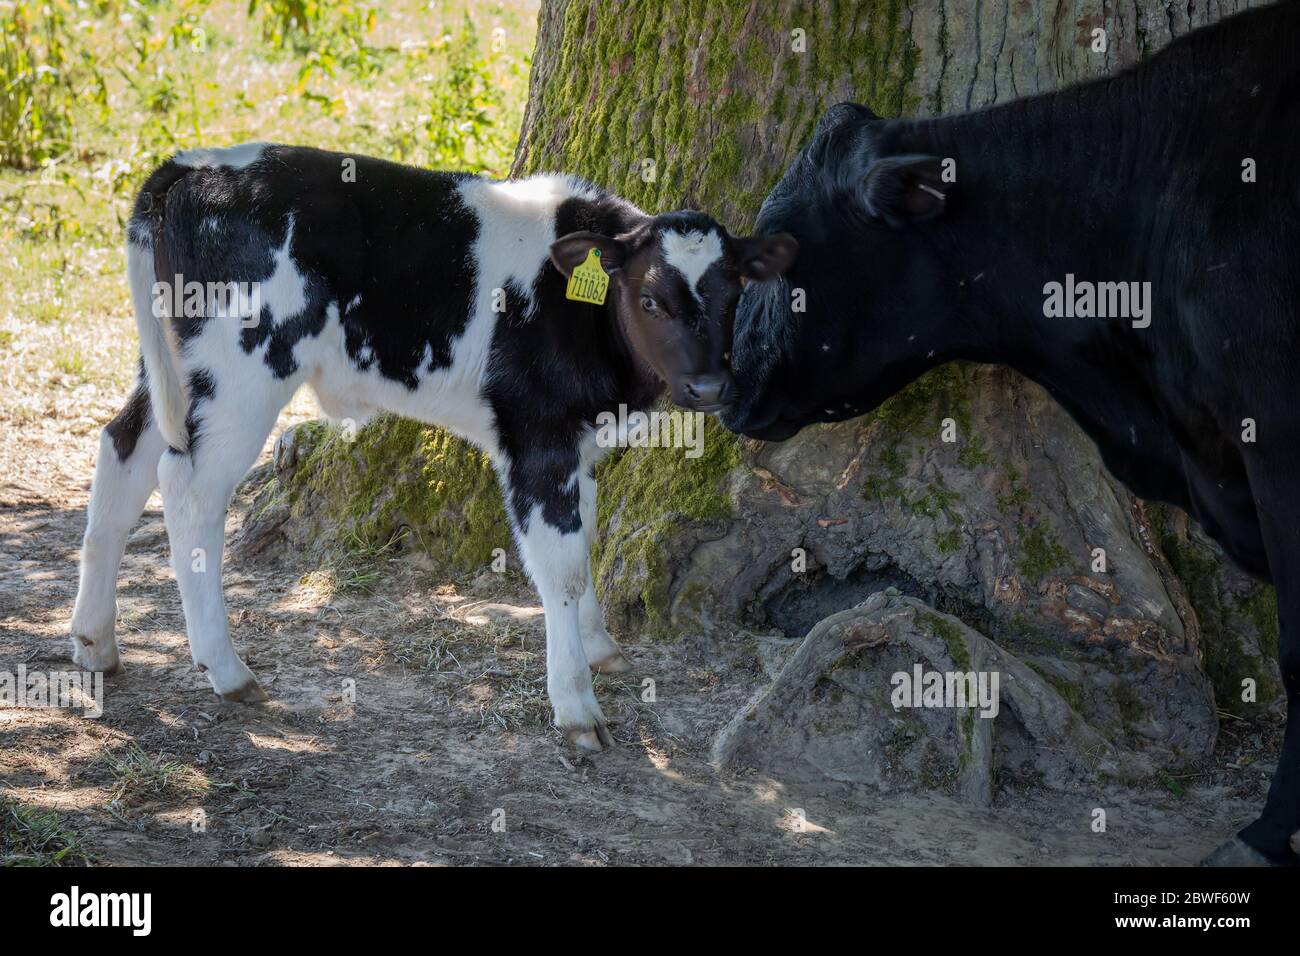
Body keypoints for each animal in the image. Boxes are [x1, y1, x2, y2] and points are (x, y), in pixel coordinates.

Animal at [70, 144, 797, 751]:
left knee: (122, 449)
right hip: (241, 371)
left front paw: (596, 645)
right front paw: (576, 705)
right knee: (189, 488)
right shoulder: (537, 438)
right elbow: (559, 567)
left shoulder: (576, 444)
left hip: (173, 366)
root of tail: (194, 165)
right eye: (649, 299)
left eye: (732, 296)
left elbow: (585, 542)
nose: (709, 386)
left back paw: (93, 639)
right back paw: (225, 669)